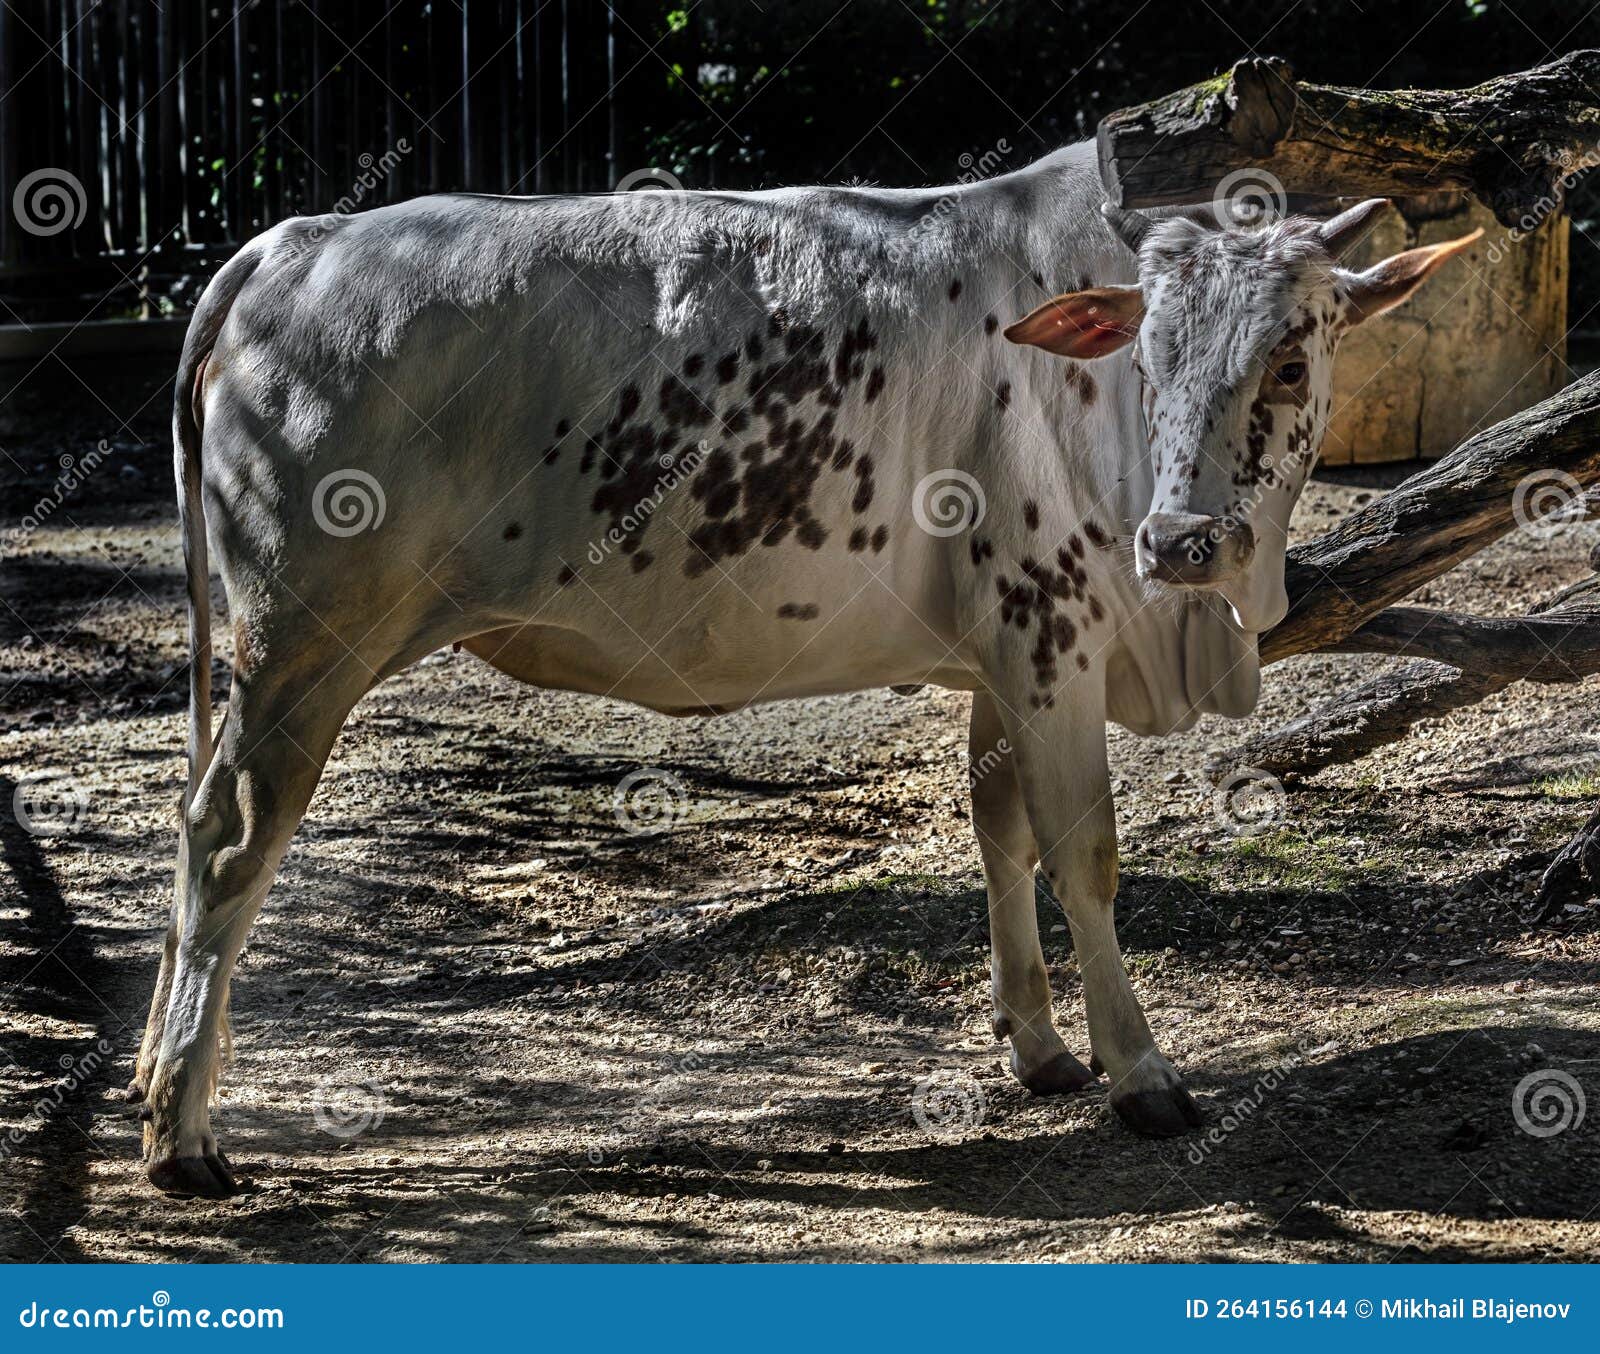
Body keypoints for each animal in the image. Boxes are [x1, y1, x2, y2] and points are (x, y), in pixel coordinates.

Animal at [128, 139, 1478, 1196]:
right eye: (1145, 359)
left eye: (1292, 358)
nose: (1180, 541)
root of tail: (292, 243)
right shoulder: (1050, 635)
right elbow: (1083, 850)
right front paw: (1140, 1071)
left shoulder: (999, 655)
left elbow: (1001, 831)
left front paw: (1038, 1046)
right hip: (305, 641)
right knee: (226, 836)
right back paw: (183, 1134)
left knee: (196, 824)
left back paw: (163, 1076)